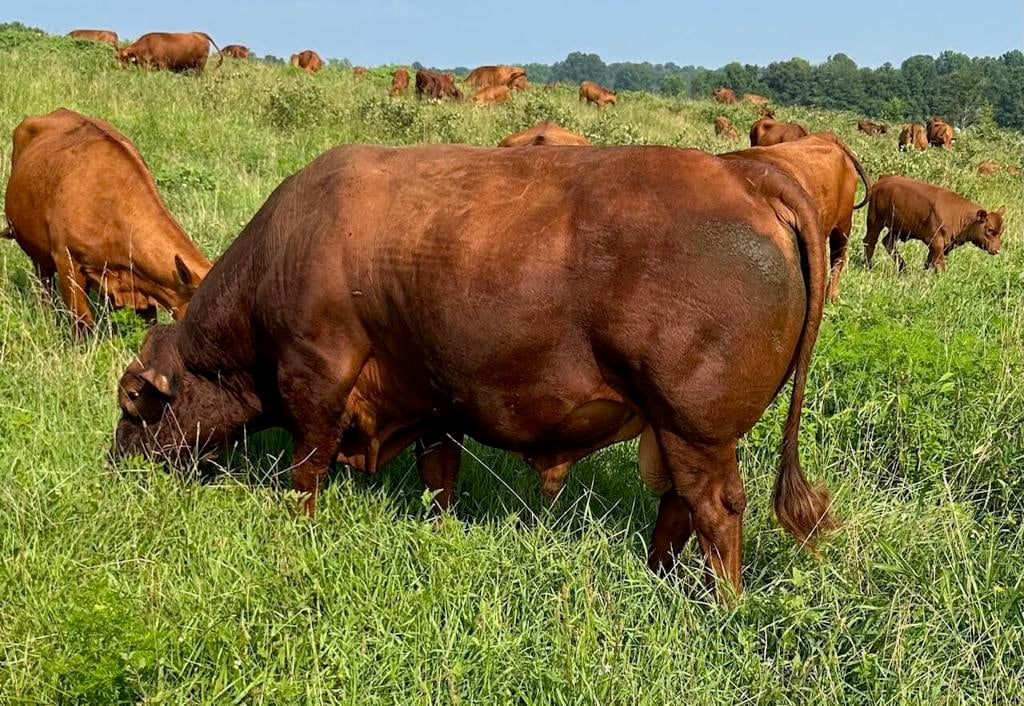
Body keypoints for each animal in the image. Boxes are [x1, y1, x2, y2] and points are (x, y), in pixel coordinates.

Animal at [111, 143, 836, 596]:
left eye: (132, 401)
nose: (116, 465)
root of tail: (748, 178)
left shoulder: (316, 377)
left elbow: (305, 470)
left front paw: (297, 529)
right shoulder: (432, 400)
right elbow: (439, 478)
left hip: (695, 429)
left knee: (715, 510)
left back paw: (723, 605)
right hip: (678, 432)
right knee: (677, 508)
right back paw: (656, 577)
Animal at [864, 175, 1006, 273]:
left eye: (1001, 231)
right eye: (990, 230)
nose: (997, 250)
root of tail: (883, 179)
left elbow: (929, 262)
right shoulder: (936, 242)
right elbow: (939, 264)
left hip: (898, 229)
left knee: (888, 242)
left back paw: (903, 268)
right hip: (875, 221)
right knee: (870, 241)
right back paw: (868, 266)